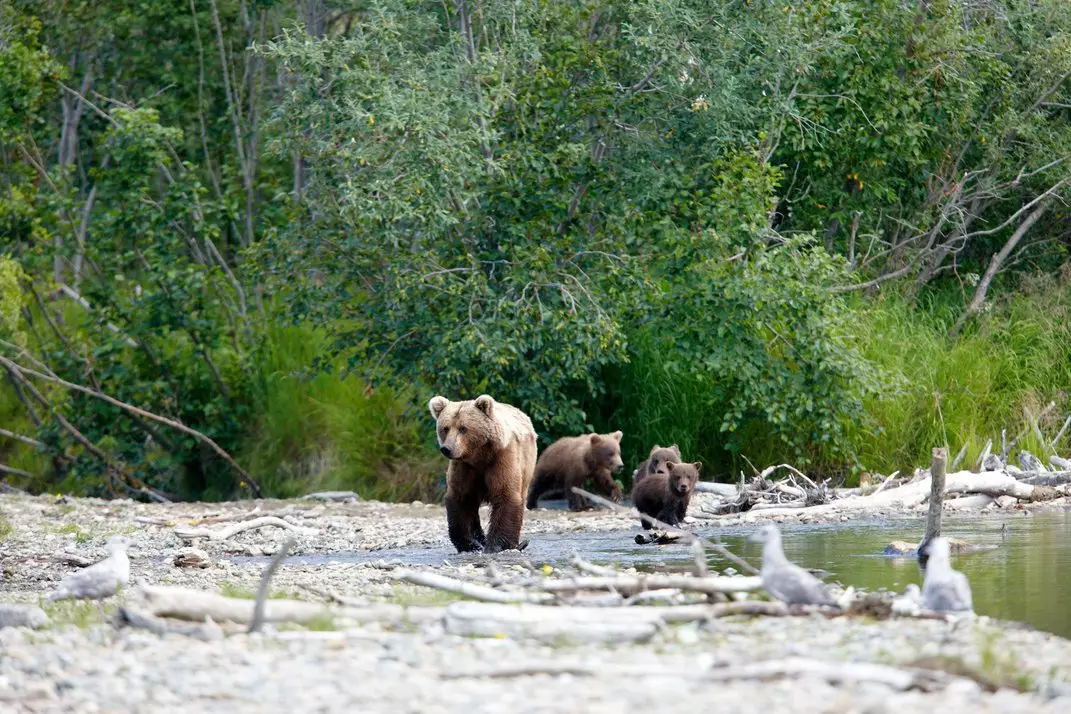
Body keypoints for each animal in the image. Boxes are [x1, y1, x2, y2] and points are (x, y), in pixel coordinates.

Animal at [430, 396, 539, 552]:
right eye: (445, 428)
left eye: (463, 428)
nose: (446, 449)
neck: (479, 456)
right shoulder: (464, 466)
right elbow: (460, 498)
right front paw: (471, 544)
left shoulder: (501, 457)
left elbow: (506, 494)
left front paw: (496, 545)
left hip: (526, 463)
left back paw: (519, 543)